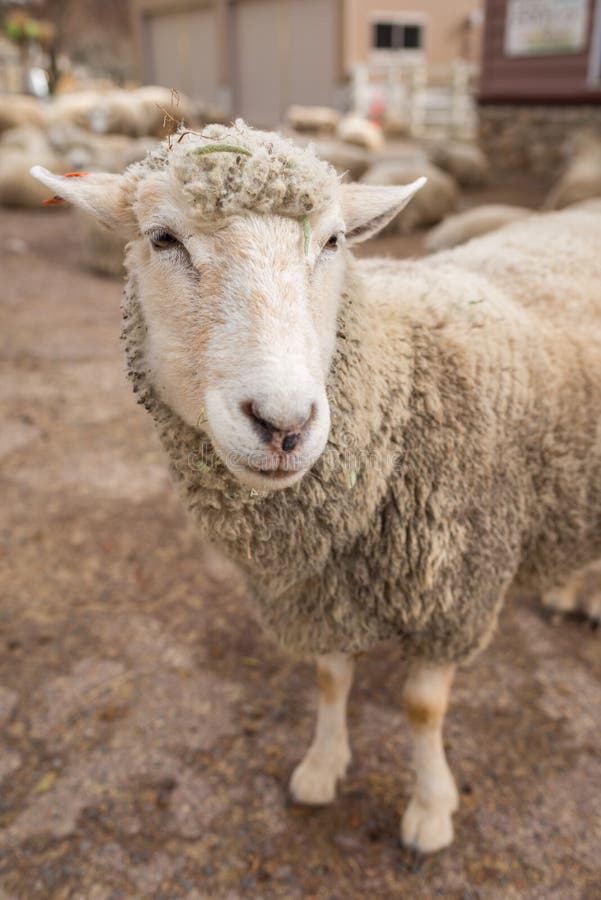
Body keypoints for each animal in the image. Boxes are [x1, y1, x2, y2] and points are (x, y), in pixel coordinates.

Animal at [31, 121, 601, 856]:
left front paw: (429, 808)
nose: (284, 424)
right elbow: (331, 679)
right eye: (162, 239)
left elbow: (422, 708)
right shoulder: (319, 593)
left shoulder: (454, 592)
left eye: (333, 242)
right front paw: (322, 767)